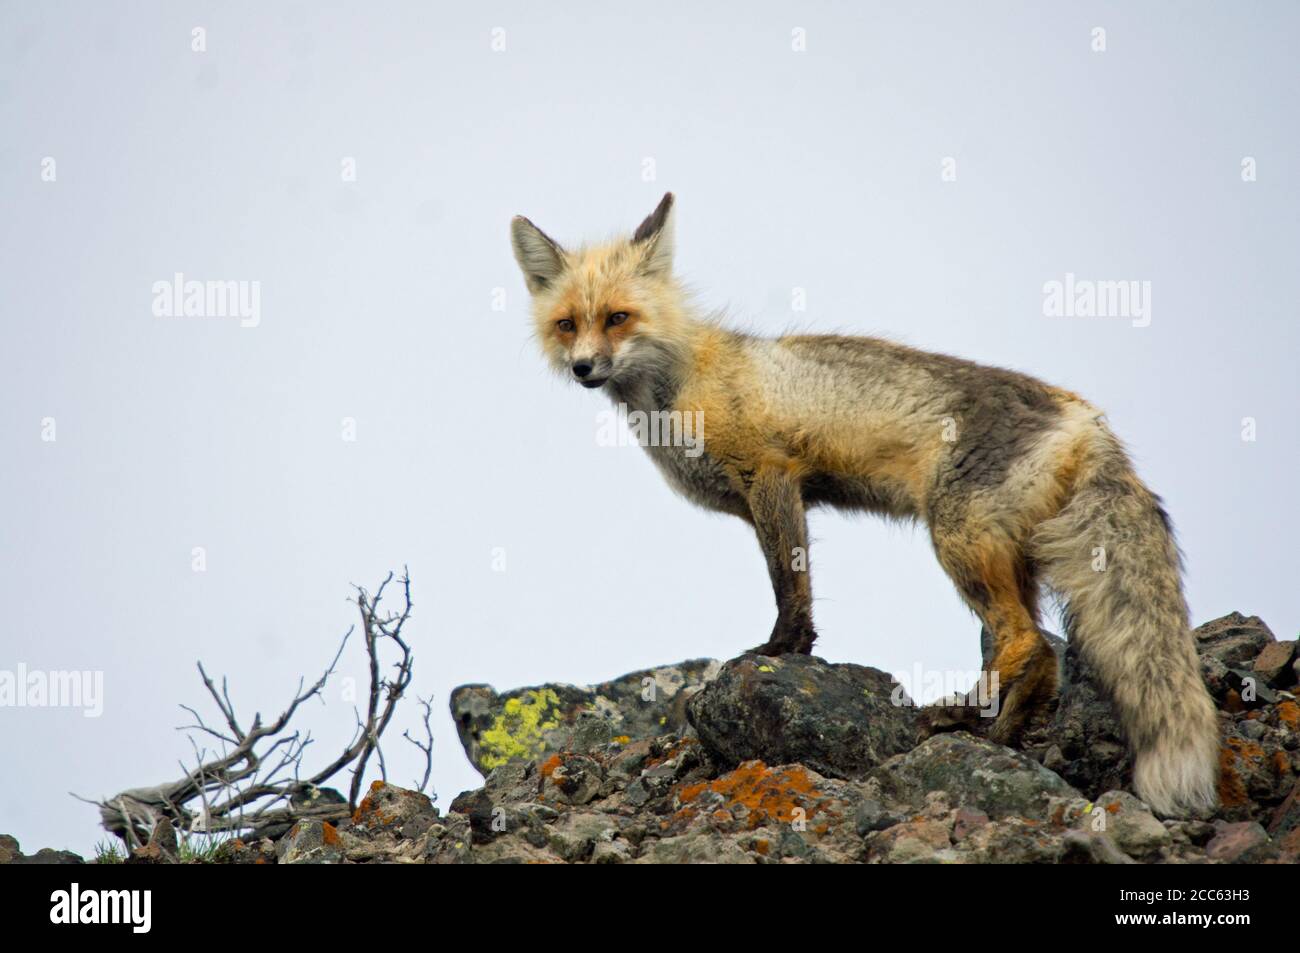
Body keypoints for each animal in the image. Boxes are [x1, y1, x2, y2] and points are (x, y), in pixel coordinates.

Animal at [509, 192, 1221, 817]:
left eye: (618, 318)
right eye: (568, 324)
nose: (583, 367)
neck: (680, 383)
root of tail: (1086, 416)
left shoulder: (773, 476)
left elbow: (789, 585)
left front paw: (781, 653)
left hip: (959, 540)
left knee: (1023, 640)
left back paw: (957, 714)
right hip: (1009, 554)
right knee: (1043, 653)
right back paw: (998, 740)